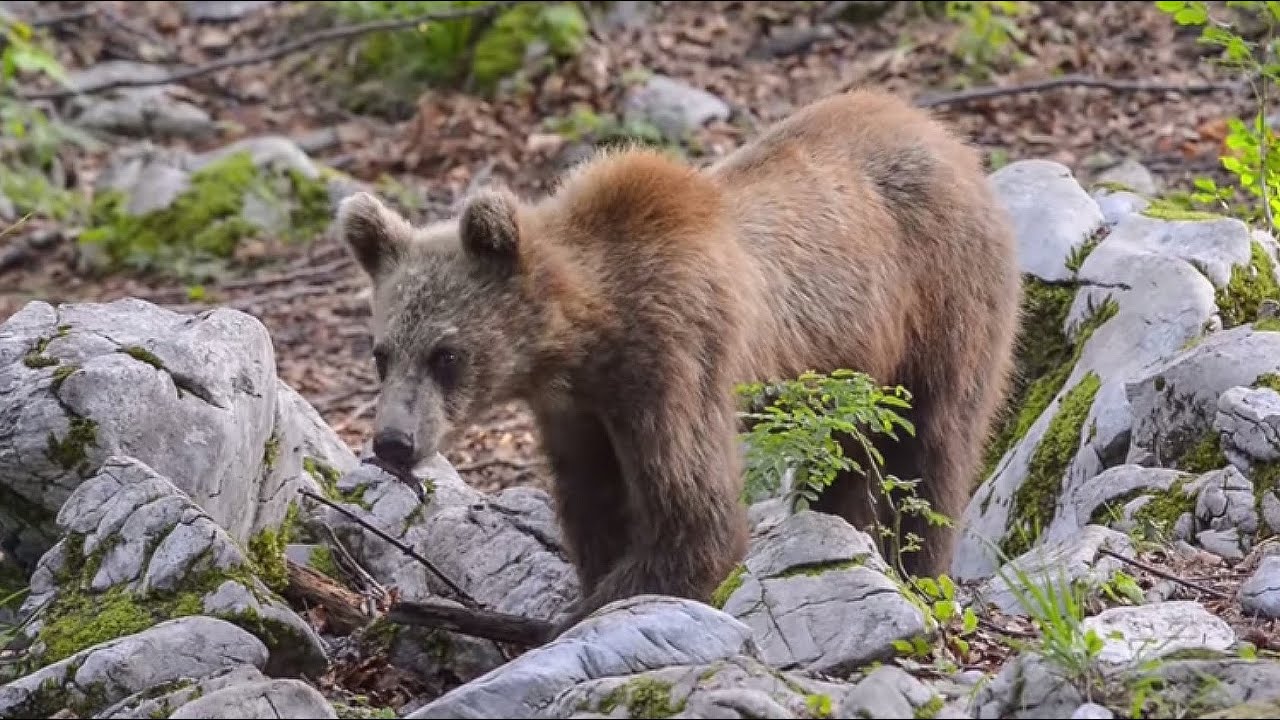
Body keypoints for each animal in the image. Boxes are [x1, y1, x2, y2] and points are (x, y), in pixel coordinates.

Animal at [336, 88, 1022, 633]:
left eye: (447, 353)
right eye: (382, 354)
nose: (393, 441)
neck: (586, 338)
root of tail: (945, 136)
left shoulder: (675, 357)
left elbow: (695, 516)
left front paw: (568, 618)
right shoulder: (576, 411)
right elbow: (593, 504)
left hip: (943, 298)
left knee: (933, 445)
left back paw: (920, 569)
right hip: (849, 364)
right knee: (849, 453)